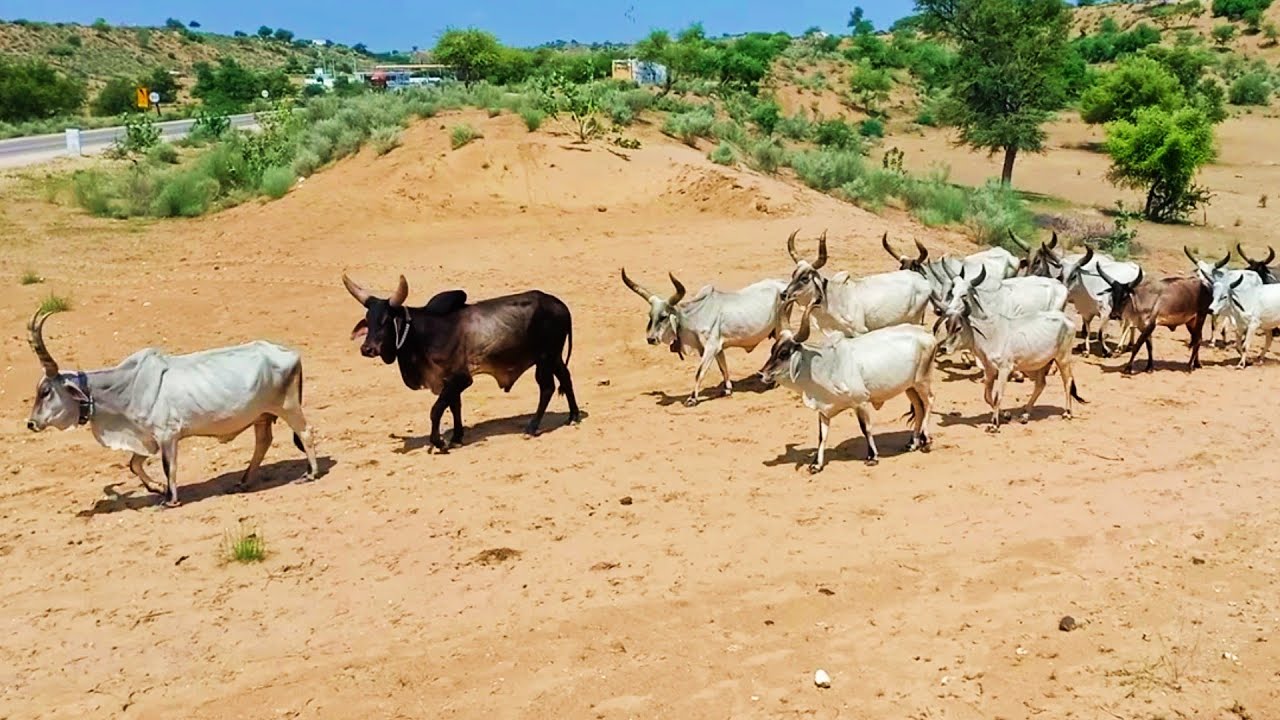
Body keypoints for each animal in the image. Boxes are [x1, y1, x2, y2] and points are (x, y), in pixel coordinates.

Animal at [24, 309, 319, 508]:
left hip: (288, 407)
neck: (126, 386)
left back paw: (310, 473)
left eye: (46, 391)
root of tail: (291, 353)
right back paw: (244, 480)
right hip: (261, 416)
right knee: (263, 441)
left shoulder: (167, 435)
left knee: (306, 433)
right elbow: (134, 464)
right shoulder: (148, 438)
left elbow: (169, 467)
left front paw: (169, 499)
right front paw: (155, 487)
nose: (31, 423)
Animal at [343, 274, 580, 451]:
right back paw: (573, 416)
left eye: (385, 321)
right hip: (554, 357)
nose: (367, 349)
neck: (422, 334)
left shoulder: (460, 379)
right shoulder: (449, 381)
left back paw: (532, 427)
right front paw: (457, 437)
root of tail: (560, 306)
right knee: (566, 378)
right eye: (369, 320)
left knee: (547, 388)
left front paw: (439, 442)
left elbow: (437, 409)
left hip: (544, 358)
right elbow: (454, 406)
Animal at [622, 268, 787, 406]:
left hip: (781, 326)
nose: (651, 339)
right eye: (651, 316)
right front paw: (727, 390)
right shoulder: (718, 348)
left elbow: (699, 372)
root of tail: (782, 283)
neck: (693, 318)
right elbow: (723, 368)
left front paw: (692, 398)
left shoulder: (711, 347)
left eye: (663, 317)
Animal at [758, 306, 938, 472]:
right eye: (772, 350)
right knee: (919, 408)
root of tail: (926, 332)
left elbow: (866, 429)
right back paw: (913, 443)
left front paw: (872, 456)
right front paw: (816, 464)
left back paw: (926, 441)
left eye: (784, 353)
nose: (761, 374)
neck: (825, 366)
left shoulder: (860, 402)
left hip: (922, 381)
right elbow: (822, 436)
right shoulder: (823, 410)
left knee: (929, 402)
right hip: (910, 387)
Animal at [937, 299, 1086, 432]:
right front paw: (1006, 415)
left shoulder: (1004, 369)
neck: (989, 336)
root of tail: (1067, 318)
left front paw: (994, 425)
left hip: (1062, 358)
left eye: (958, 328)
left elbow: (997, 396)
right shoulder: (990, 370)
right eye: (947, 326)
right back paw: (1025, 414)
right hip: (1036, 364)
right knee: (1040, 384)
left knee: (1067, 381)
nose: (943, 348)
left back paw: (1067, 412)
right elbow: (988, 396)